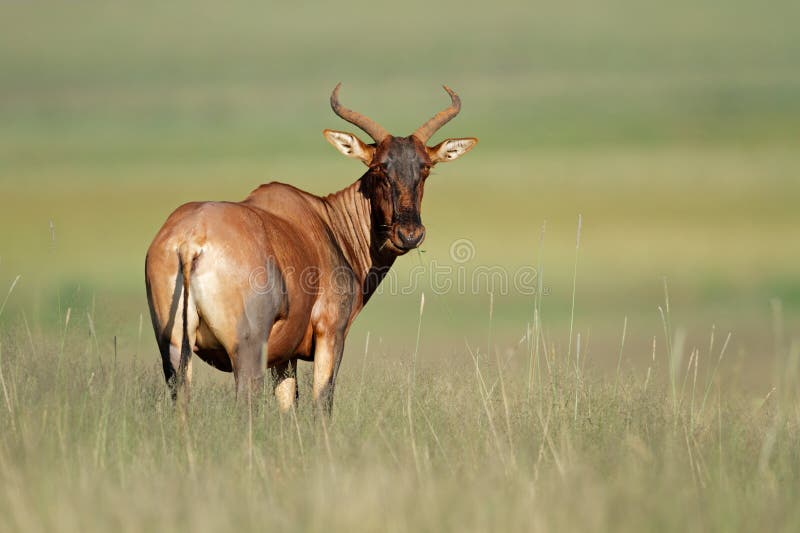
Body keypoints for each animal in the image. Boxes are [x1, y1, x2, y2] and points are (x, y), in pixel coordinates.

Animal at [145, 84, 477, 413]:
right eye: (379, 168)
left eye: (425, 167)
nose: (409, 234)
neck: (326, 220)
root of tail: (191, 240)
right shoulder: (330, 334)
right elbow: (322, 402)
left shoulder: (285, 357)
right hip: (247, 352)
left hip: (173, 350)